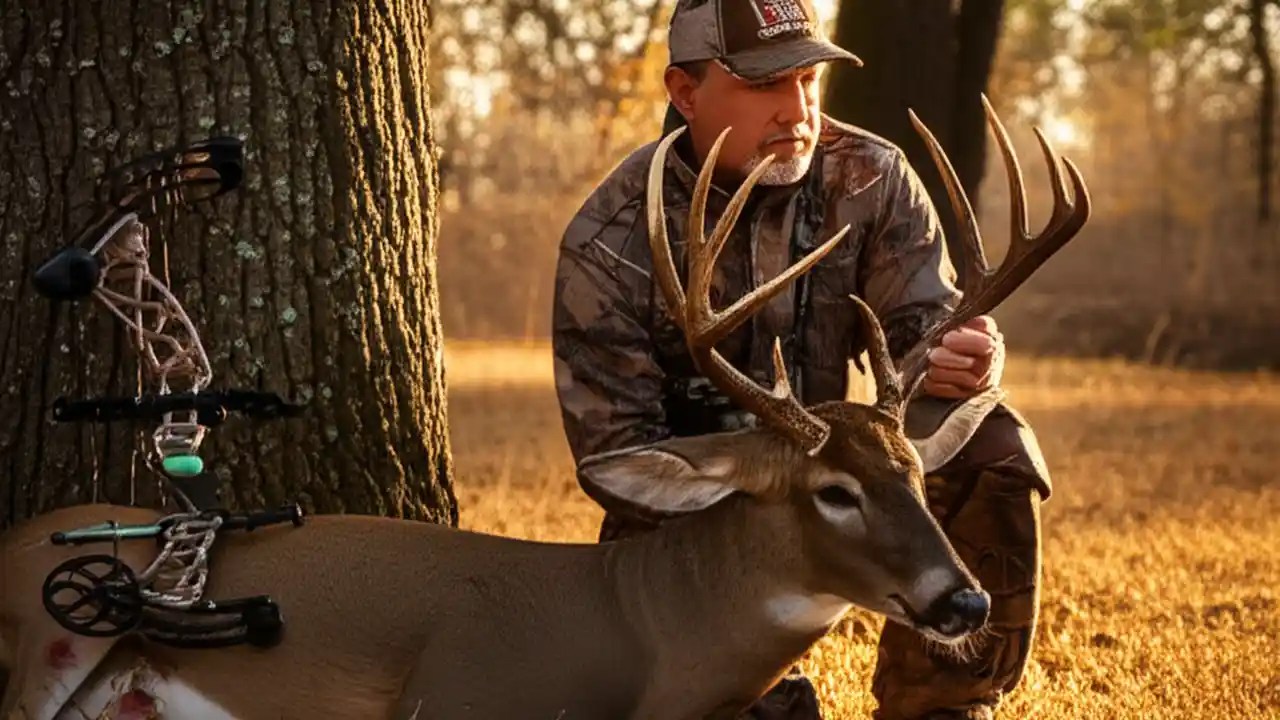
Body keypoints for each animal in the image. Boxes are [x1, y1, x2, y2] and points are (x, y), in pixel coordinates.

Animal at [0, 98, 1089, 720]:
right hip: (46, 640)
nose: (965, 602)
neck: (645, 638)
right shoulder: (460, 692)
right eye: (831, 491)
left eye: (912, 476)